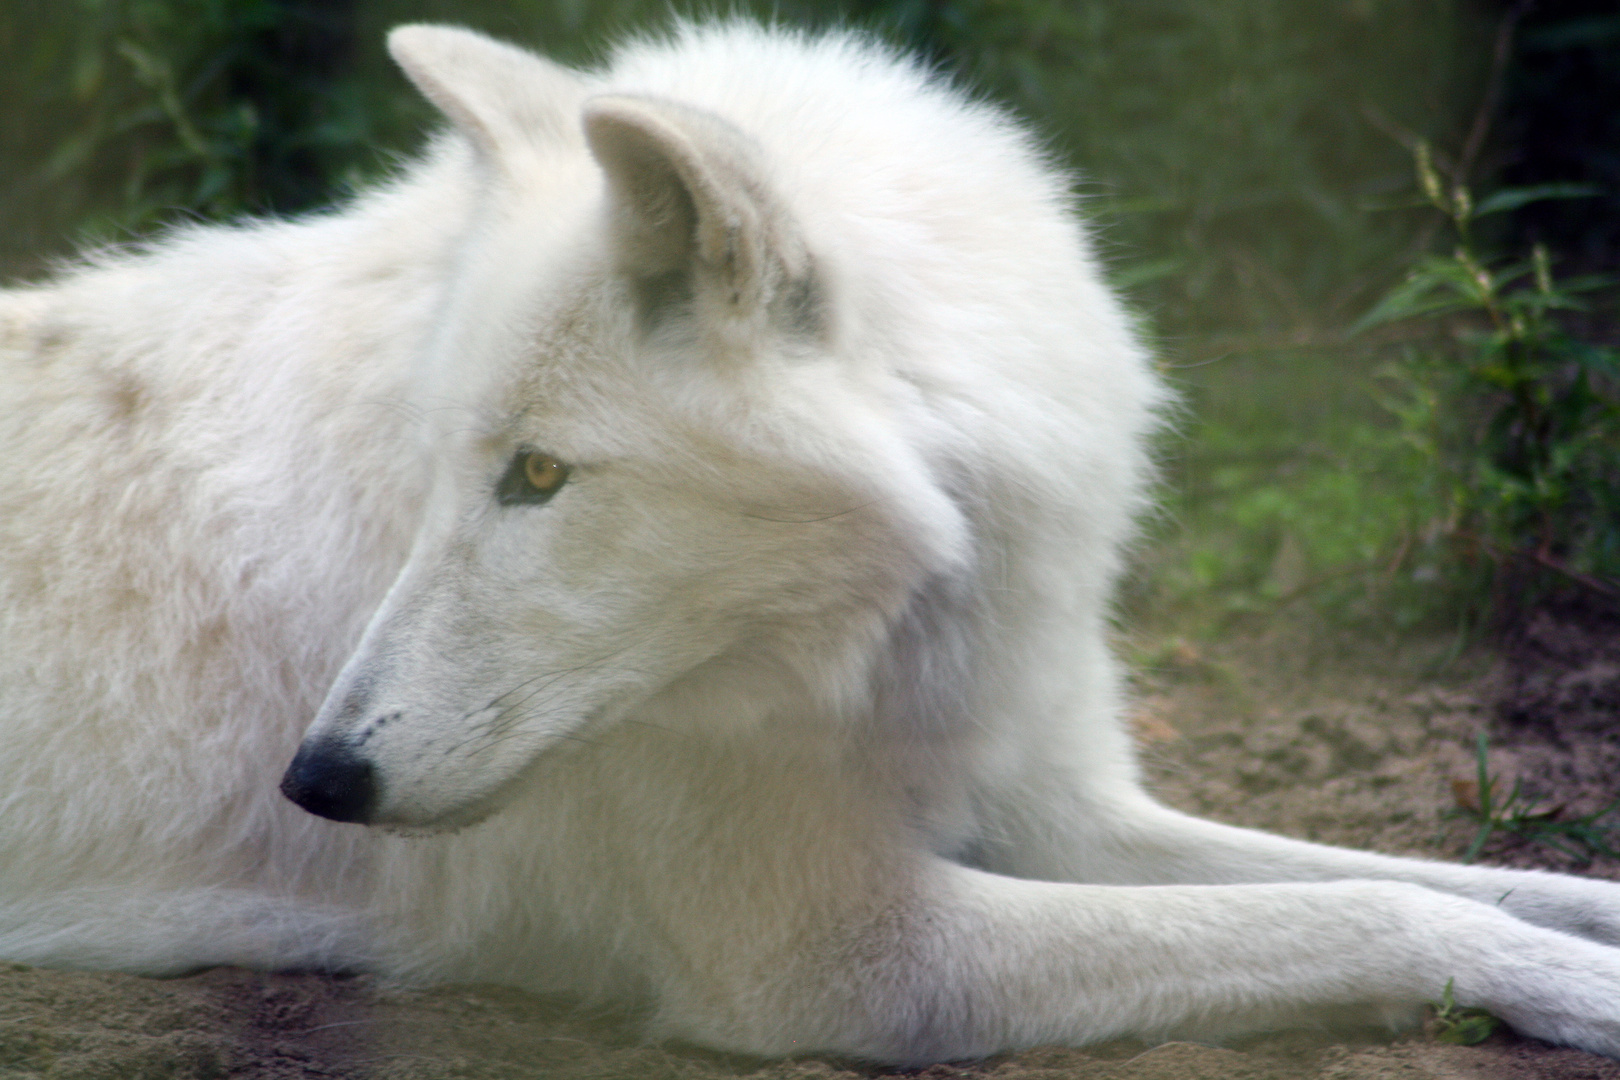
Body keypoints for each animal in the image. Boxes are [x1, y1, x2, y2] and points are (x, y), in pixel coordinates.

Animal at [4, 22, 1620, 1065]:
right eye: (443, 474)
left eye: (539, 475)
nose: (318, 780)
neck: (875, 631)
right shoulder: (837, 956)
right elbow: (1383, 906)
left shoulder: (1061, 808)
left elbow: (1458, 881)